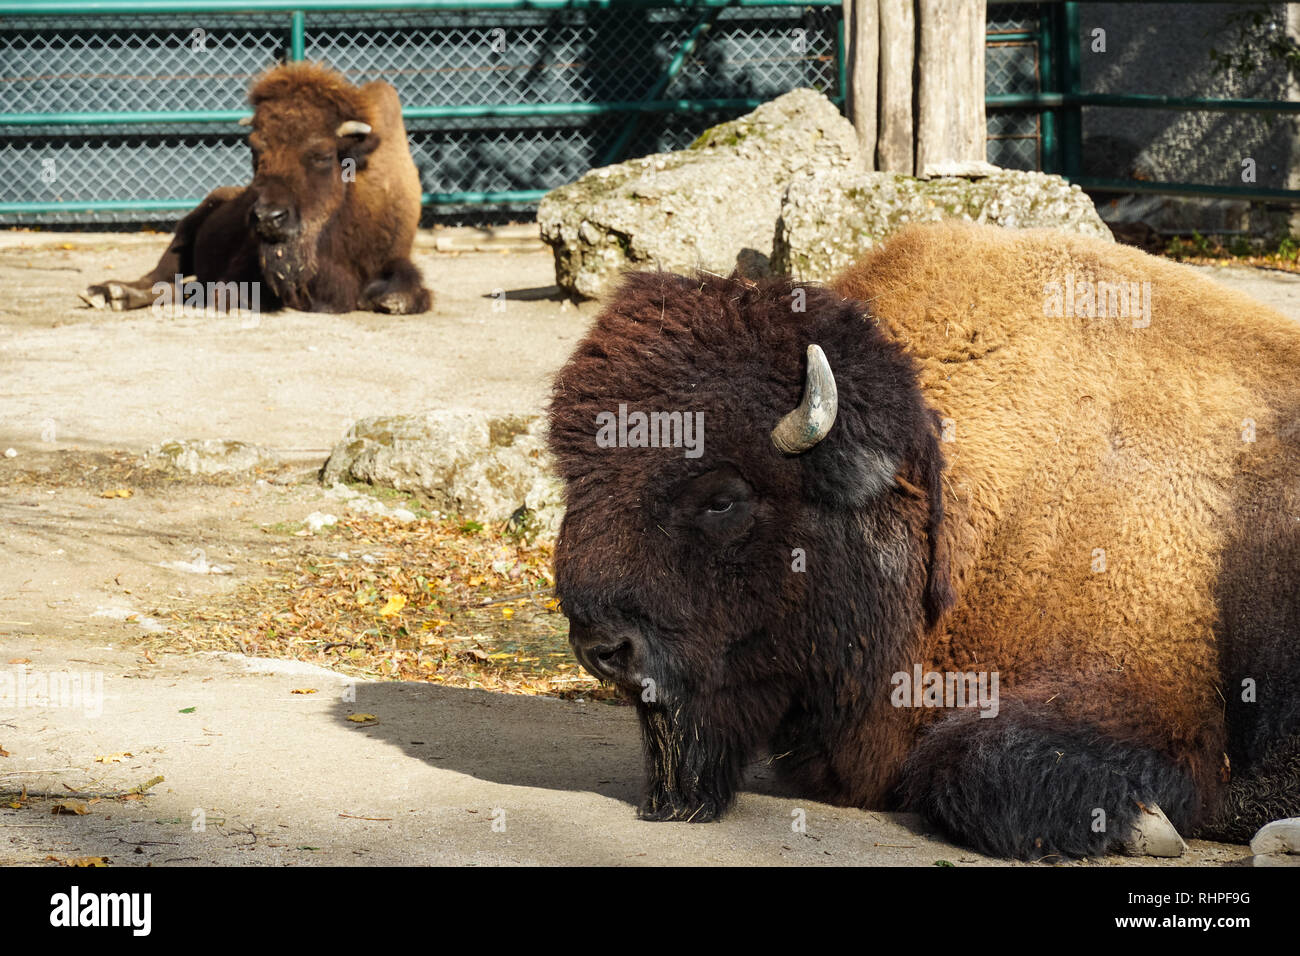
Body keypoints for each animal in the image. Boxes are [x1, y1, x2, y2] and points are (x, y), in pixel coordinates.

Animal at [82, 62, 430, 315]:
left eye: (322, 154)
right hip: (182, 236)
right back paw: (108, 292)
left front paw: (388, 301)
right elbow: (211, 290)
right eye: (255, 150)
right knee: (157, 276)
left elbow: (409, 290)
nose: (267, 217)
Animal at [547, 221, 1300, 859]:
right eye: (573, 479)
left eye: (724, 497)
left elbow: (971, 765)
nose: (603, 647)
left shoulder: (1145, 700)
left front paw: (1149, 826)